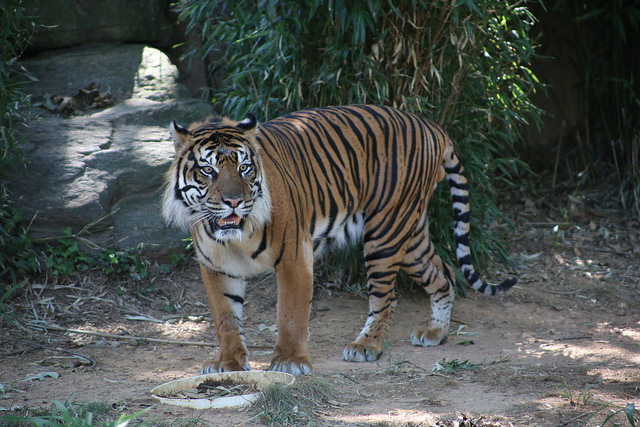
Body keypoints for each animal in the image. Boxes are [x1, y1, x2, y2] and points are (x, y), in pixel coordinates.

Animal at [162, 104, 515, 375]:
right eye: (208, 171)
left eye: (245, 167)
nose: (234, 201)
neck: (236, 236)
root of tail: (431, 126)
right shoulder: (216, 266)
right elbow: (226, 318)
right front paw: (229, 363)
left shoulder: (294, 256)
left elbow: (290, 314)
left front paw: (289, 362)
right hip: (411, 234)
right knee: (444, 272)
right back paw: (435, 332)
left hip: (386, 232)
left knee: (385, 297)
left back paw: (366, 346)